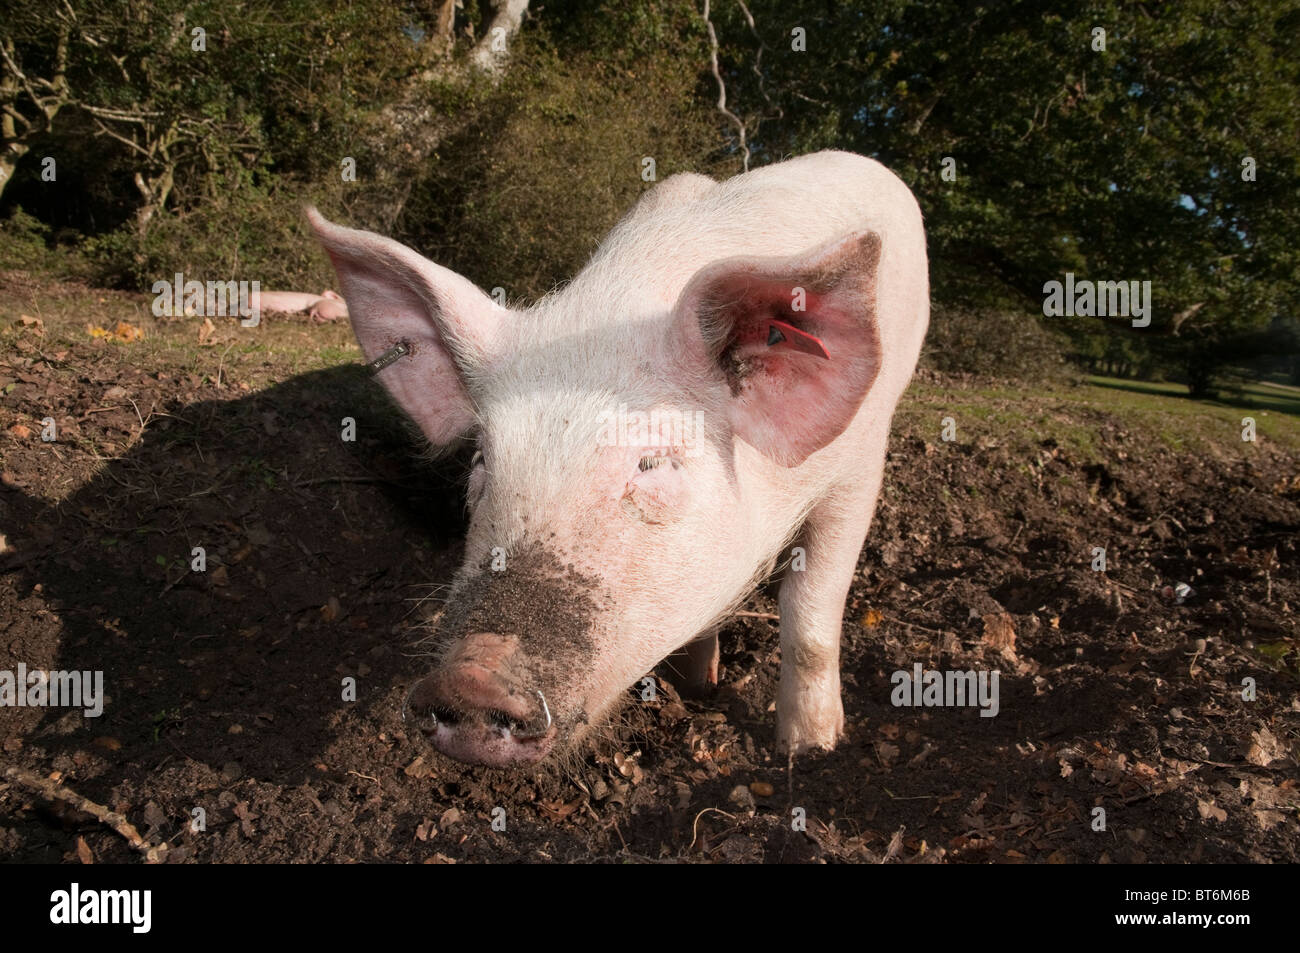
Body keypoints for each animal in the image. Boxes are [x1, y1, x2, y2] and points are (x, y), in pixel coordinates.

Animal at [307, 150, 929, 768]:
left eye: (652, 465)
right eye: (483, 460)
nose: (472, 678)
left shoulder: (857, 470)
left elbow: (811, 609)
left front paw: (809, 749)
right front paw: (696, 686)